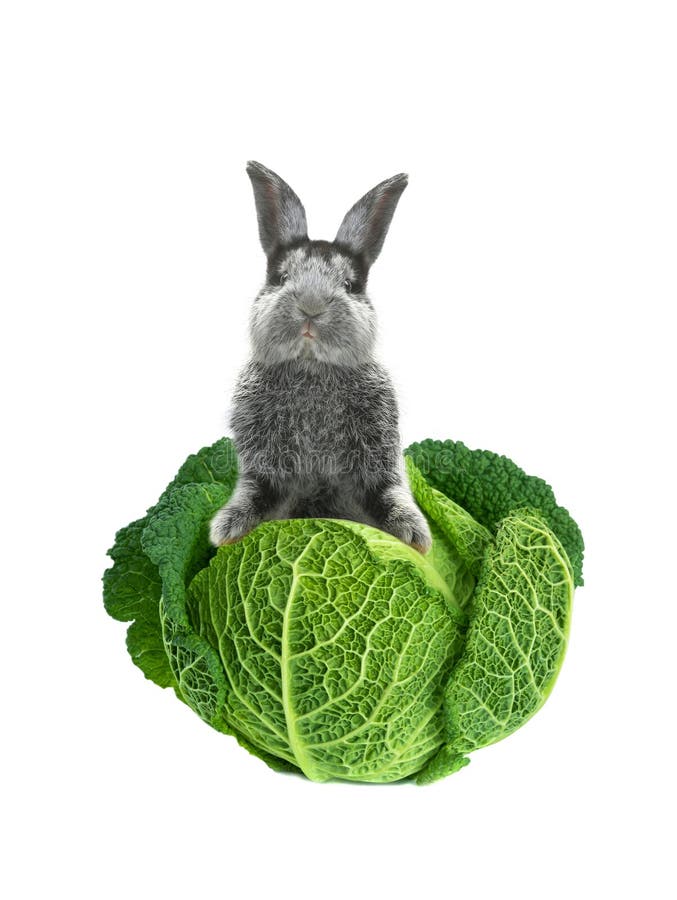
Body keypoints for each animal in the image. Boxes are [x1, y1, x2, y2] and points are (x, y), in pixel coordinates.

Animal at [209, 161, 432, 554]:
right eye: (281, 277)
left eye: (349, 285)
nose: (310, 308)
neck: (312, 367)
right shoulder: (263, 464)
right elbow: (254, 494)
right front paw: (227, 530)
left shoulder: (377, 456)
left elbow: (389, 493)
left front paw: (416, 538)